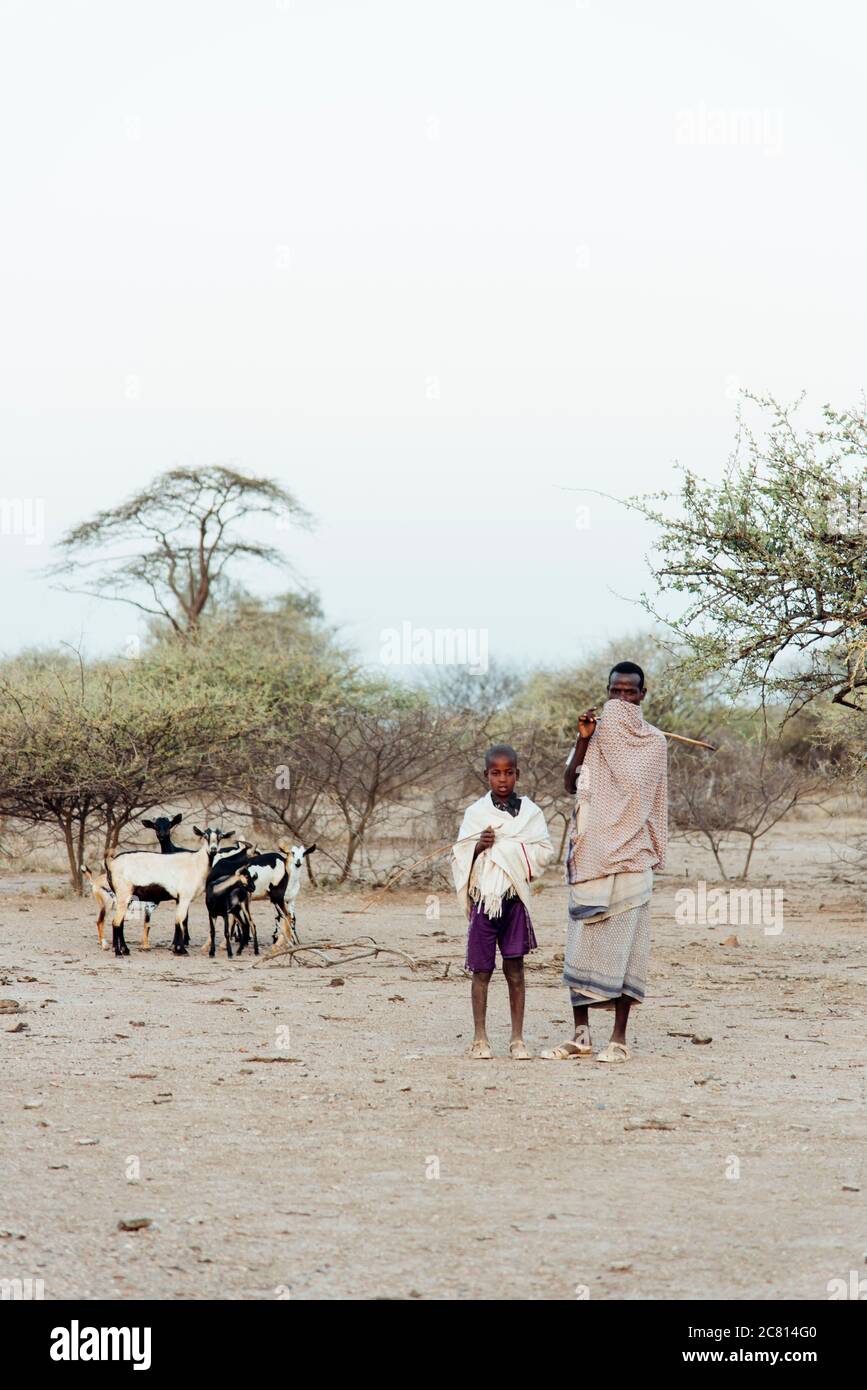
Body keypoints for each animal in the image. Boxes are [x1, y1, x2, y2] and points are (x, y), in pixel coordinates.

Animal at [105, 826, 230, 957]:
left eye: (220, 836)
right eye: (205, 836)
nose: (213, 849)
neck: (196, 863)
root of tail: (111, 864)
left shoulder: (179, 899)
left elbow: (178, 921)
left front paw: (176, 949)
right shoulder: (185, 897)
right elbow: (181, 921)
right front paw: (182, 950)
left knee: (120, 922)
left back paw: (125, 950)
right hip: (124, 894)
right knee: (116, 922)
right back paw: (118, 952)